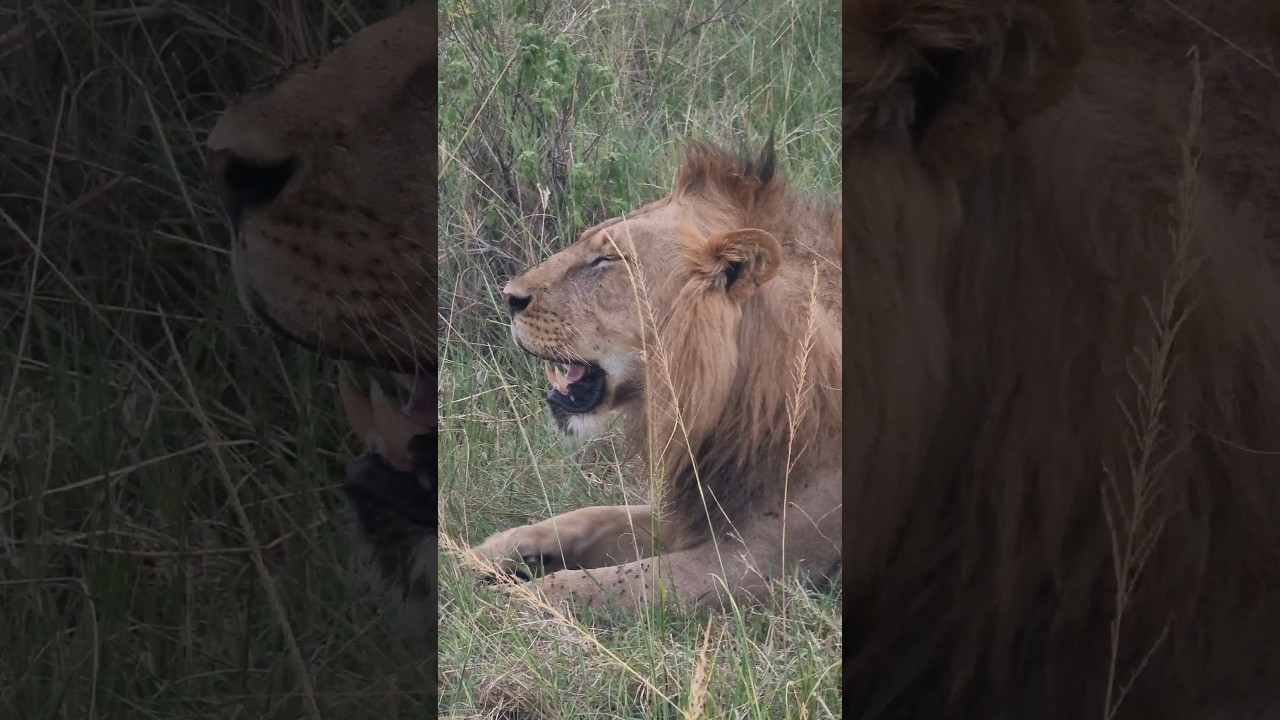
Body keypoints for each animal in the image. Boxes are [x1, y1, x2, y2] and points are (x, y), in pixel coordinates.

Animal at [468, 139, 844, 613]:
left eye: (606, 260)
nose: (508, 297)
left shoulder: (762, 567)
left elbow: (600, 584)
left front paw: (510, 600)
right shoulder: (695, 512)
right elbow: (592, 518)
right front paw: (488, 552)